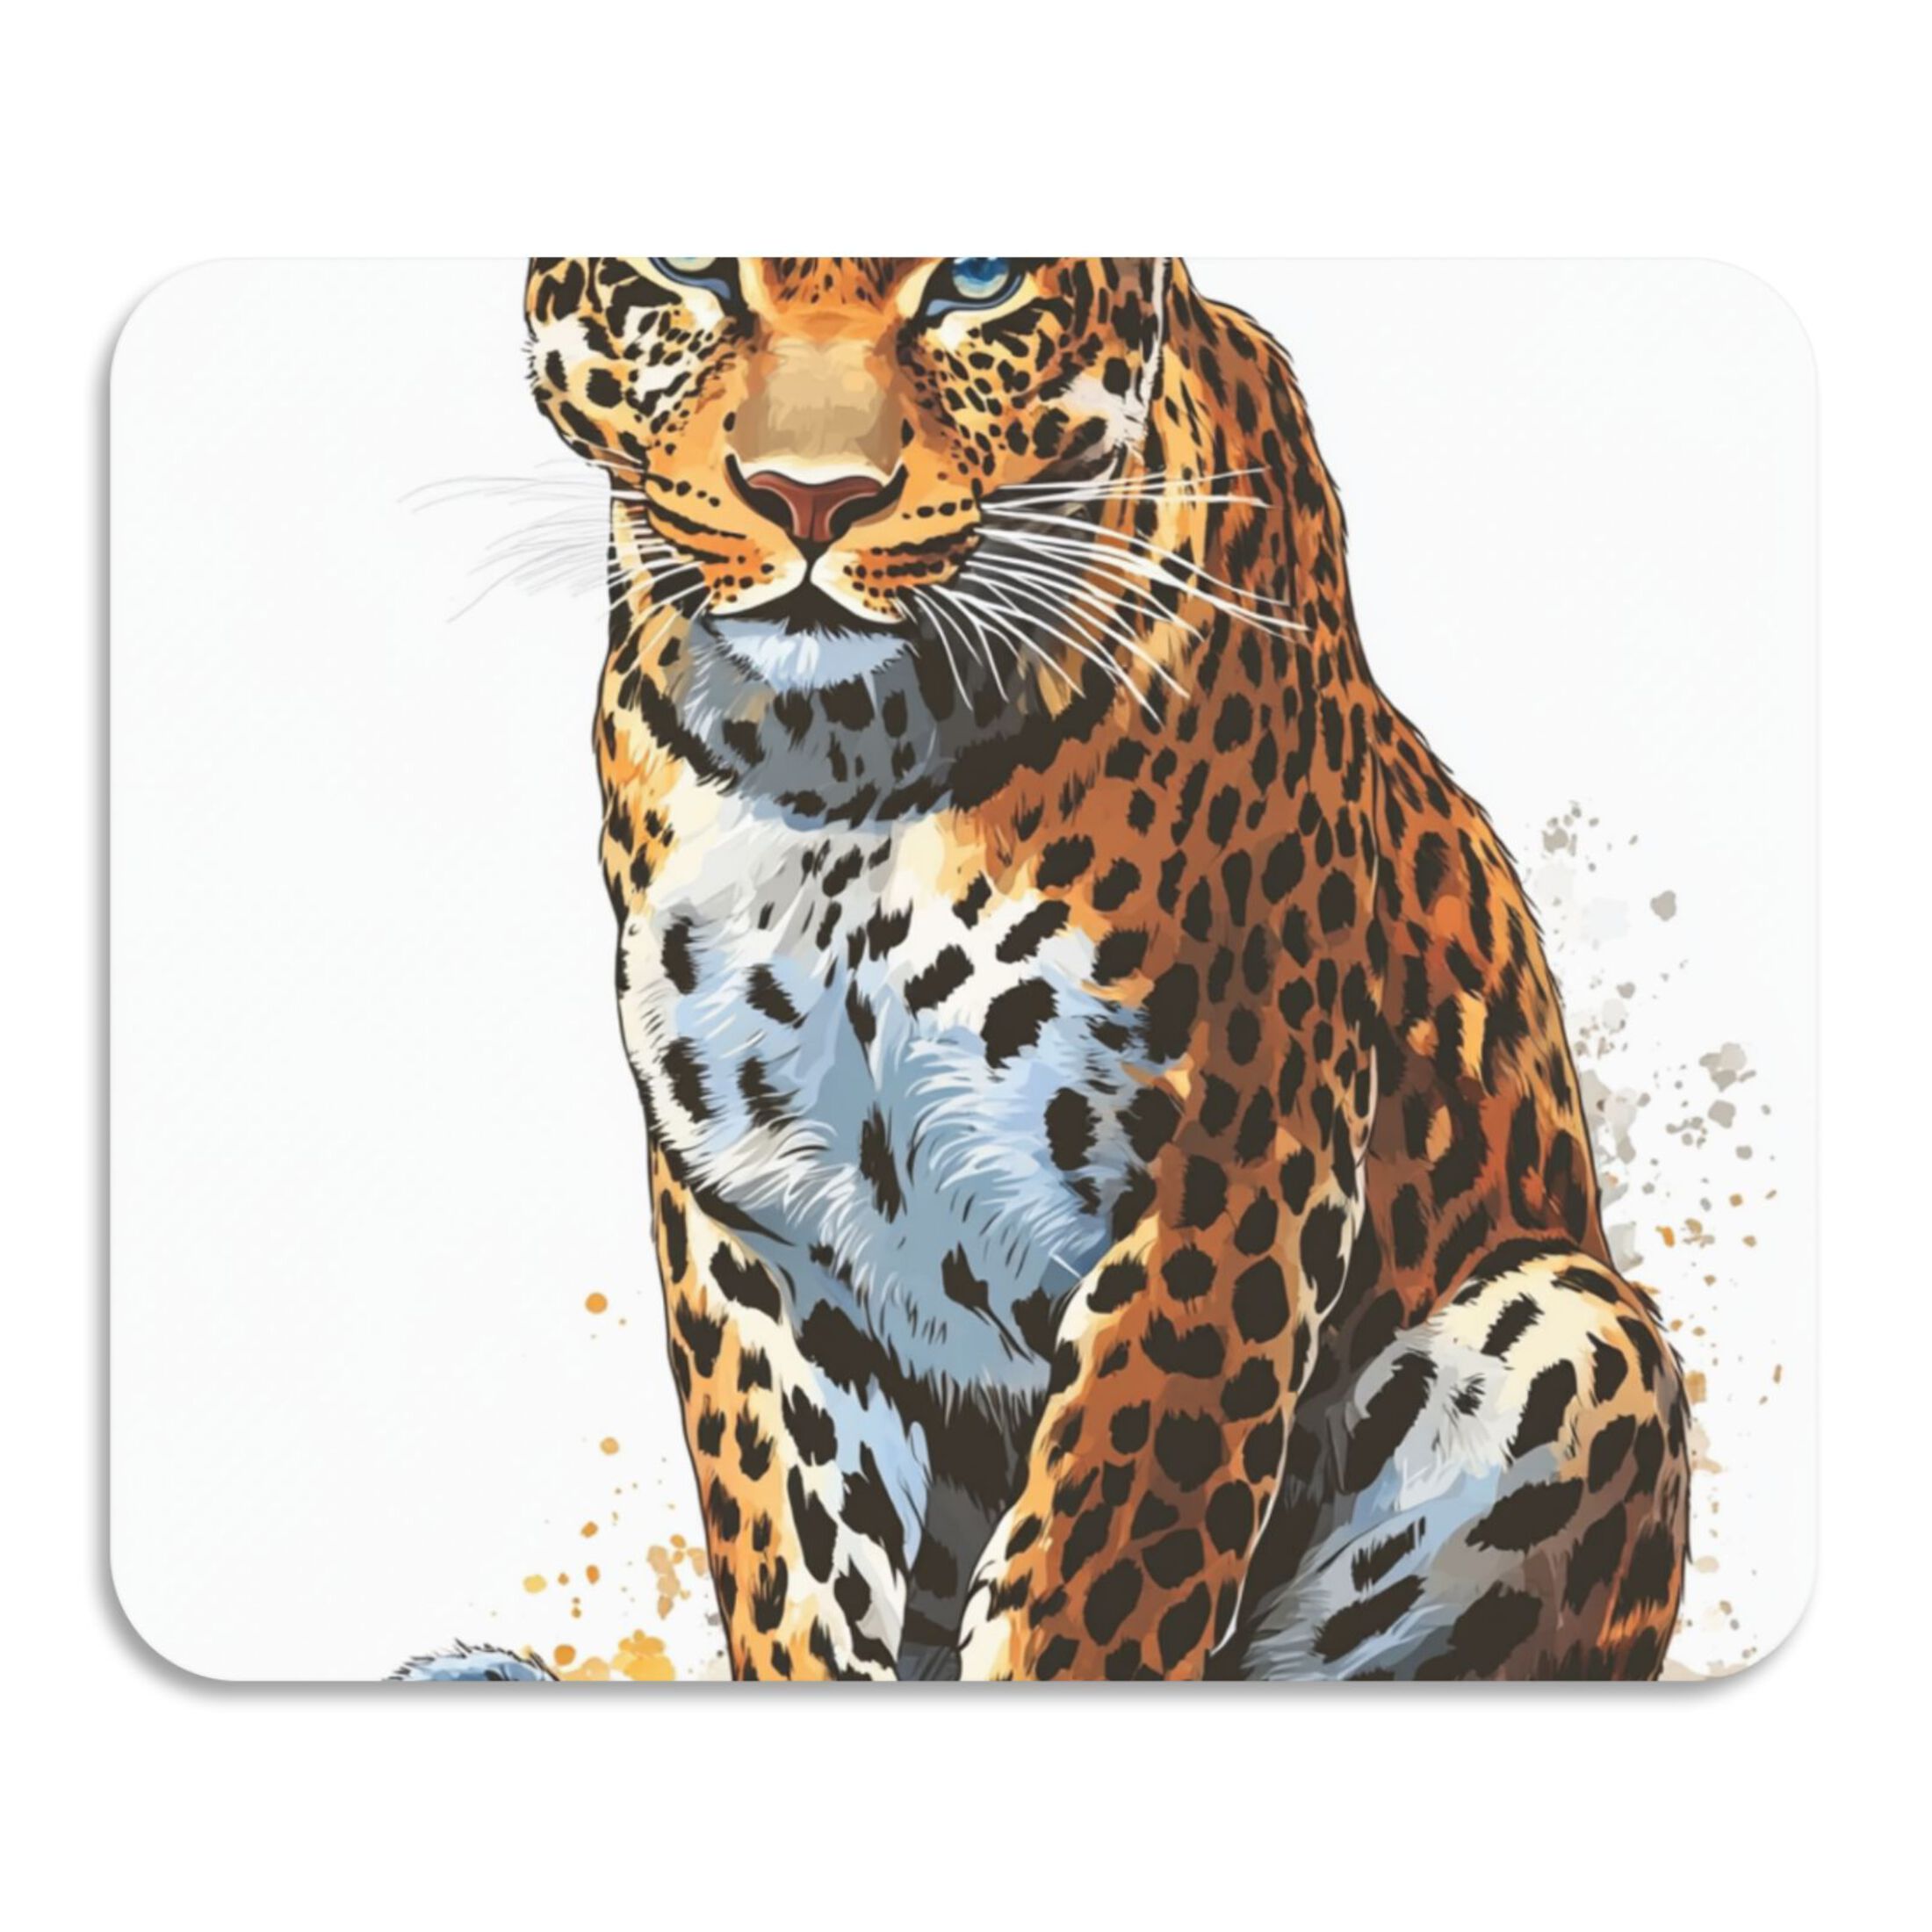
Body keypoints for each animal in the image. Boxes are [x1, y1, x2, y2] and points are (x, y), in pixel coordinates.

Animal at [400, 256, 1689, 1683]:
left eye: (976, 281)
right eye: (688, 272)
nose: (810, 498)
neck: (845, 764)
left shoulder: (1228, 1172)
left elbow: (1099, 1571)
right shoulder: (752, 1218)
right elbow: (795, 1564)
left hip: (1580, 1331)